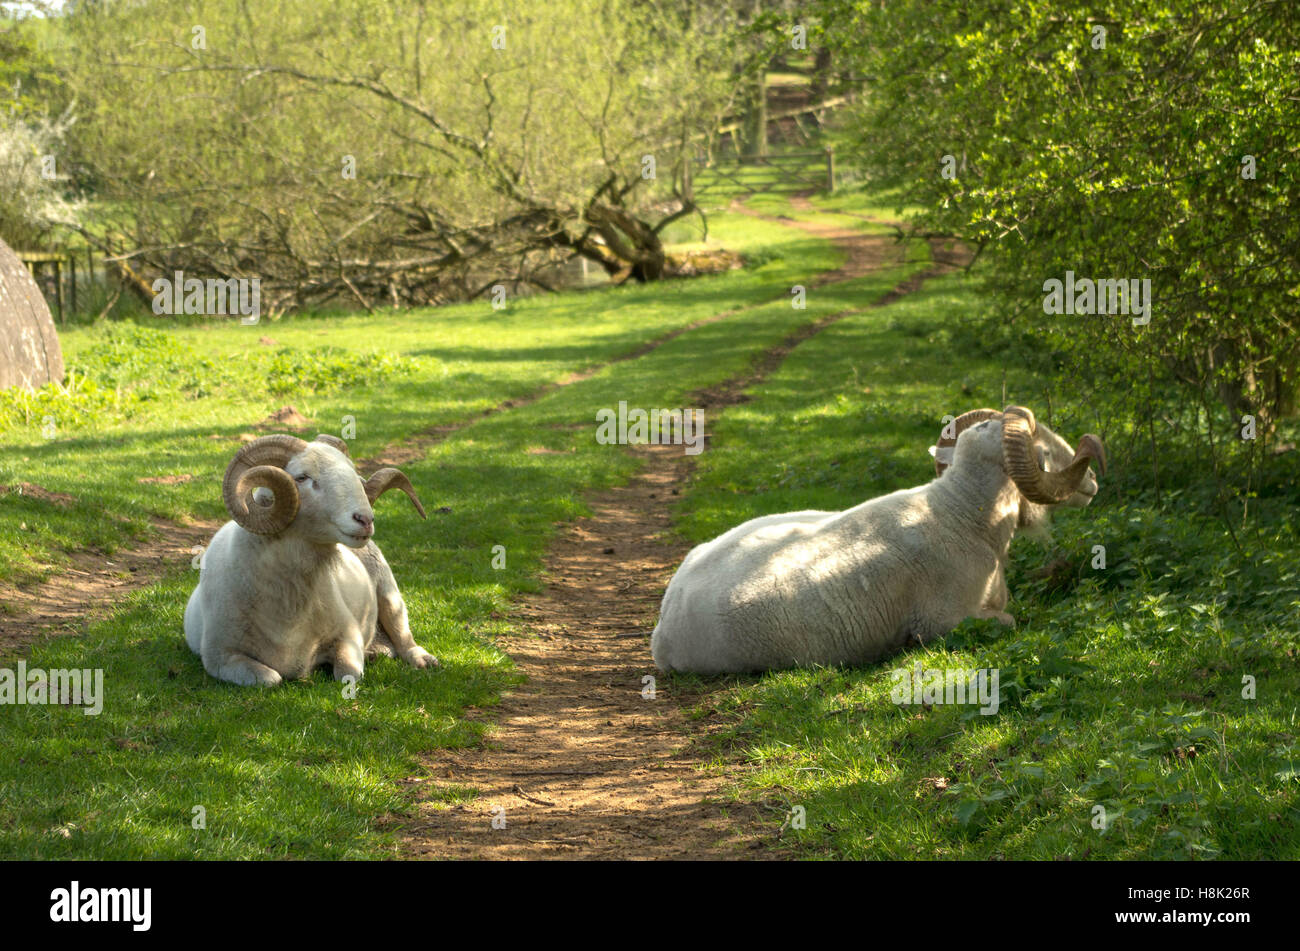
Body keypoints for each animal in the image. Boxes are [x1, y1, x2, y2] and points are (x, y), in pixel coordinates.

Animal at [184, 433, 438, 686]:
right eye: (302, 477)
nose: (365, 519)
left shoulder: (349, 634)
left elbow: (348, 673)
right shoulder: (219, 657)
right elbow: (271, 678)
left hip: (389, 594)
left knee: (403, 637)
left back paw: (423, 660)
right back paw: (376, 652)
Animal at [650, 406, 1105, 674]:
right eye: (1044, 449)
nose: (1092, 481)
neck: (960, 514)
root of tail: (664, 618)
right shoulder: (944, 621)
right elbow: (1009, 622)